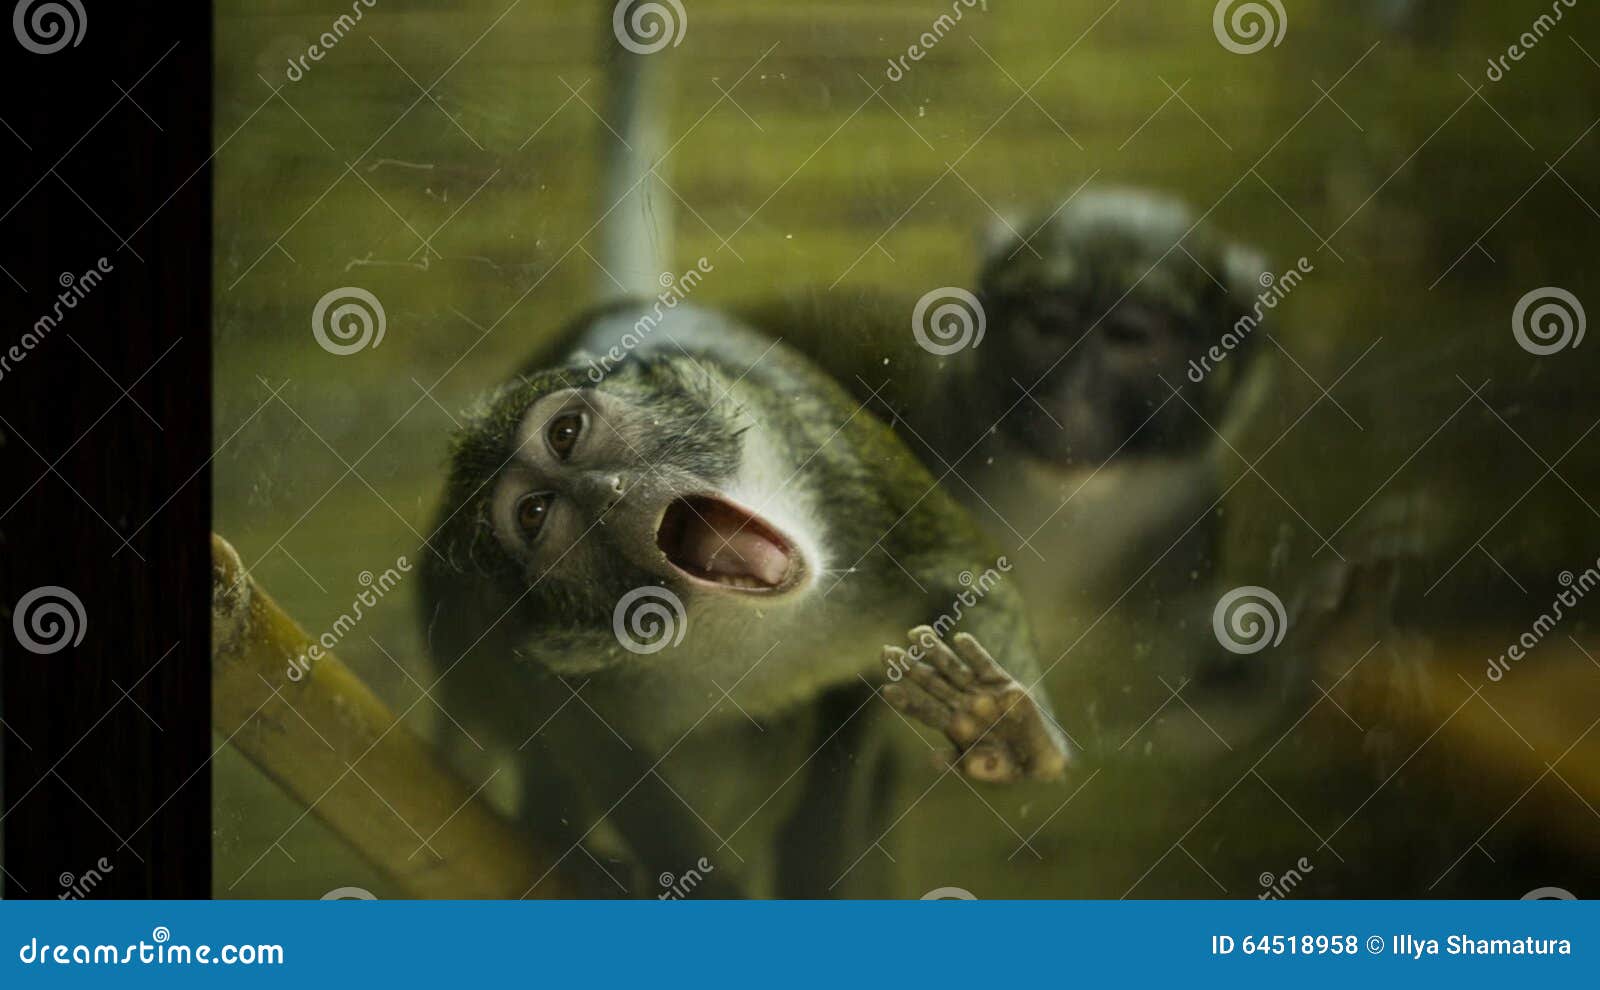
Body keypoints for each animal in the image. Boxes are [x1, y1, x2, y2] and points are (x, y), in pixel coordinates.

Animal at [418, 300, 1073, 899]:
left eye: (565, 434)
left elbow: (970, 569)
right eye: (534, 513)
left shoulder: (826, 449)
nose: (608, 489)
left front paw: (998, 724)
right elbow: (607, 761)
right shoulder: (525, 648)